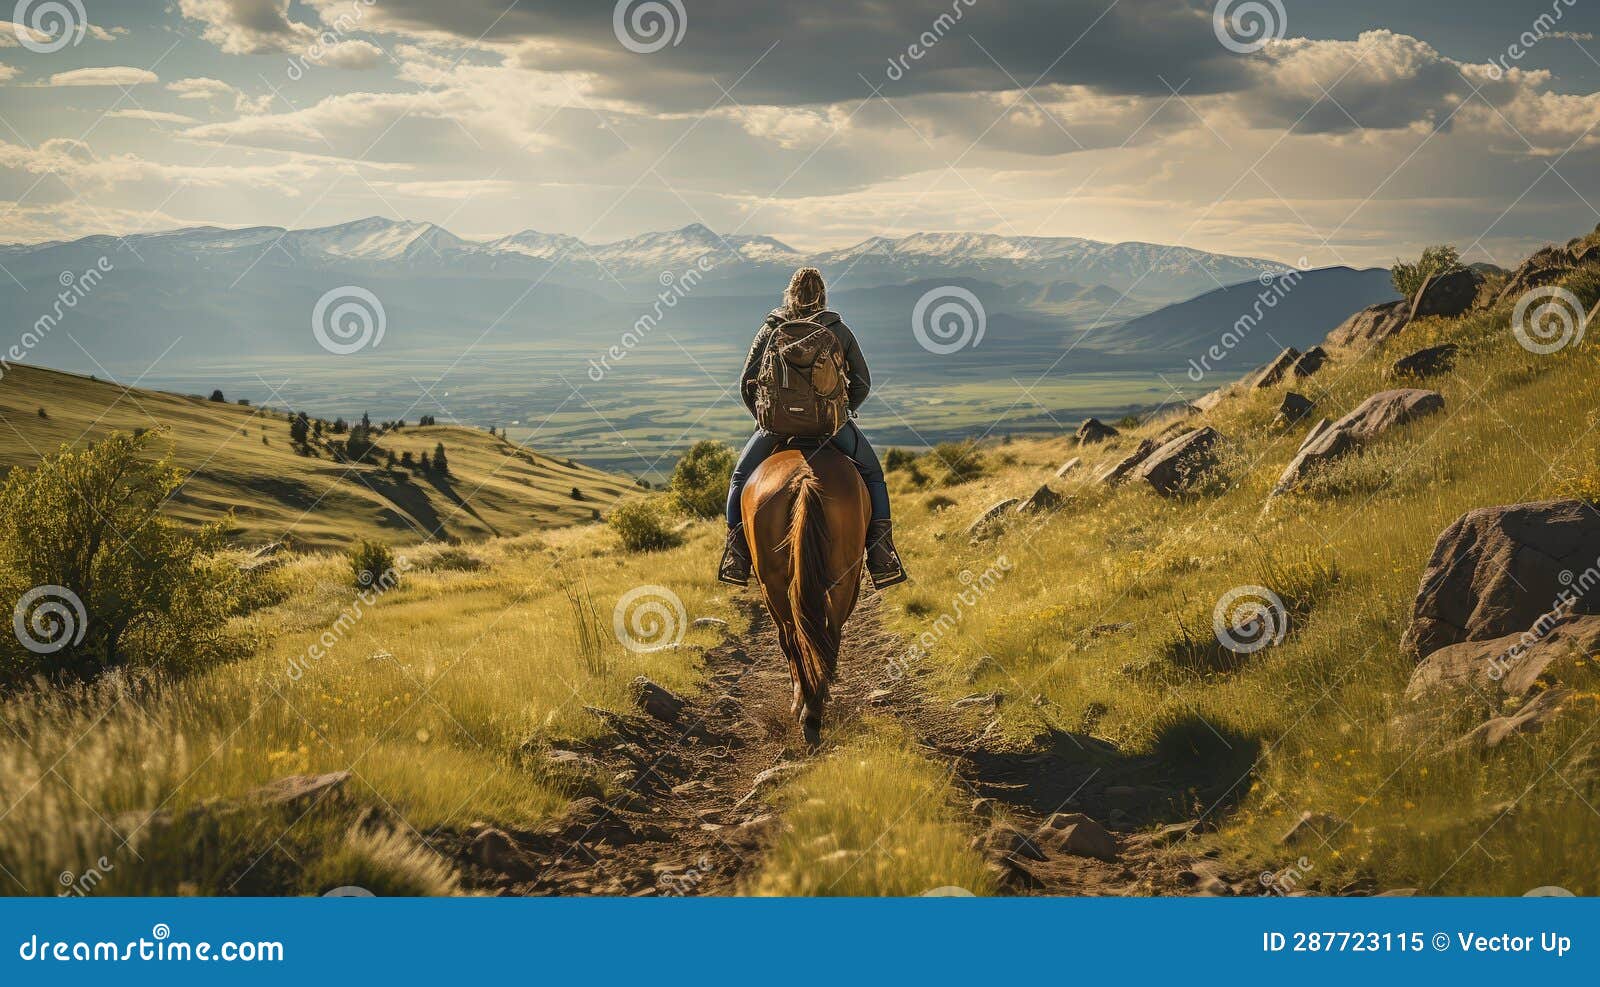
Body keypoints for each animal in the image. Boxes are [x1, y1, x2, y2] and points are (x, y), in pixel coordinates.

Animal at [740, 445, 870, 747]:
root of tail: (804, 475)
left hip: (774, 585)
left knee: (794, 637)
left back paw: (808, 708)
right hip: (842, 579)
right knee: (825, 633)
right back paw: (814, 708)